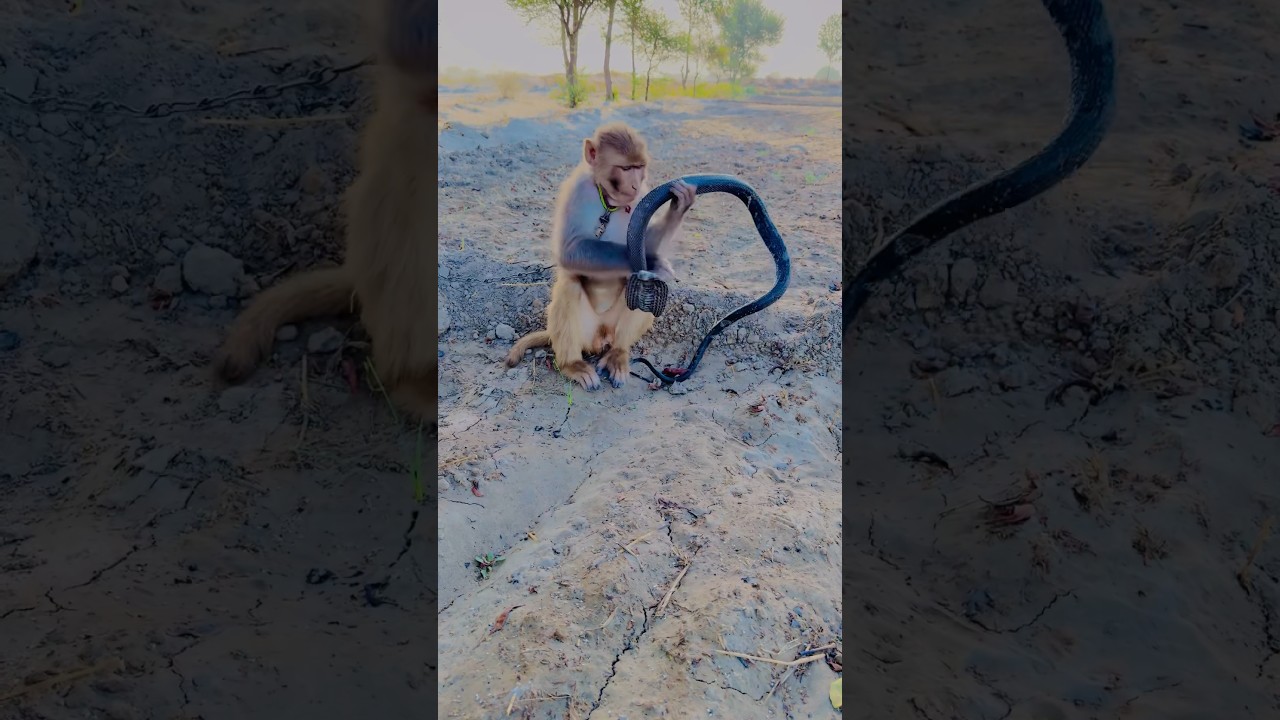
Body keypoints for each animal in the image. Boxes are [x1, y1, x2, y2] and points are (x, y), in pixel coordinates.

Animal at [504, 122, 697, 390]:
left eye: (639, 167)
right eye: (625, 168)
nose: (634, 184)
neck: (609, 201)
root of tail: (601, 336)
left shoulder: (643, 195)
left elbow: (644, 241)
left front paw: (679, 206)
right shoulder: (577, 189)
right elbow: (570, 250)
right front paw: (652, 261)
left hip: (614, 328)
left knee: (636, 290)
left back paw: (618, 354)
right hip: (585, 331)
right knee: (570, 285)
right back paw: (572, 365)